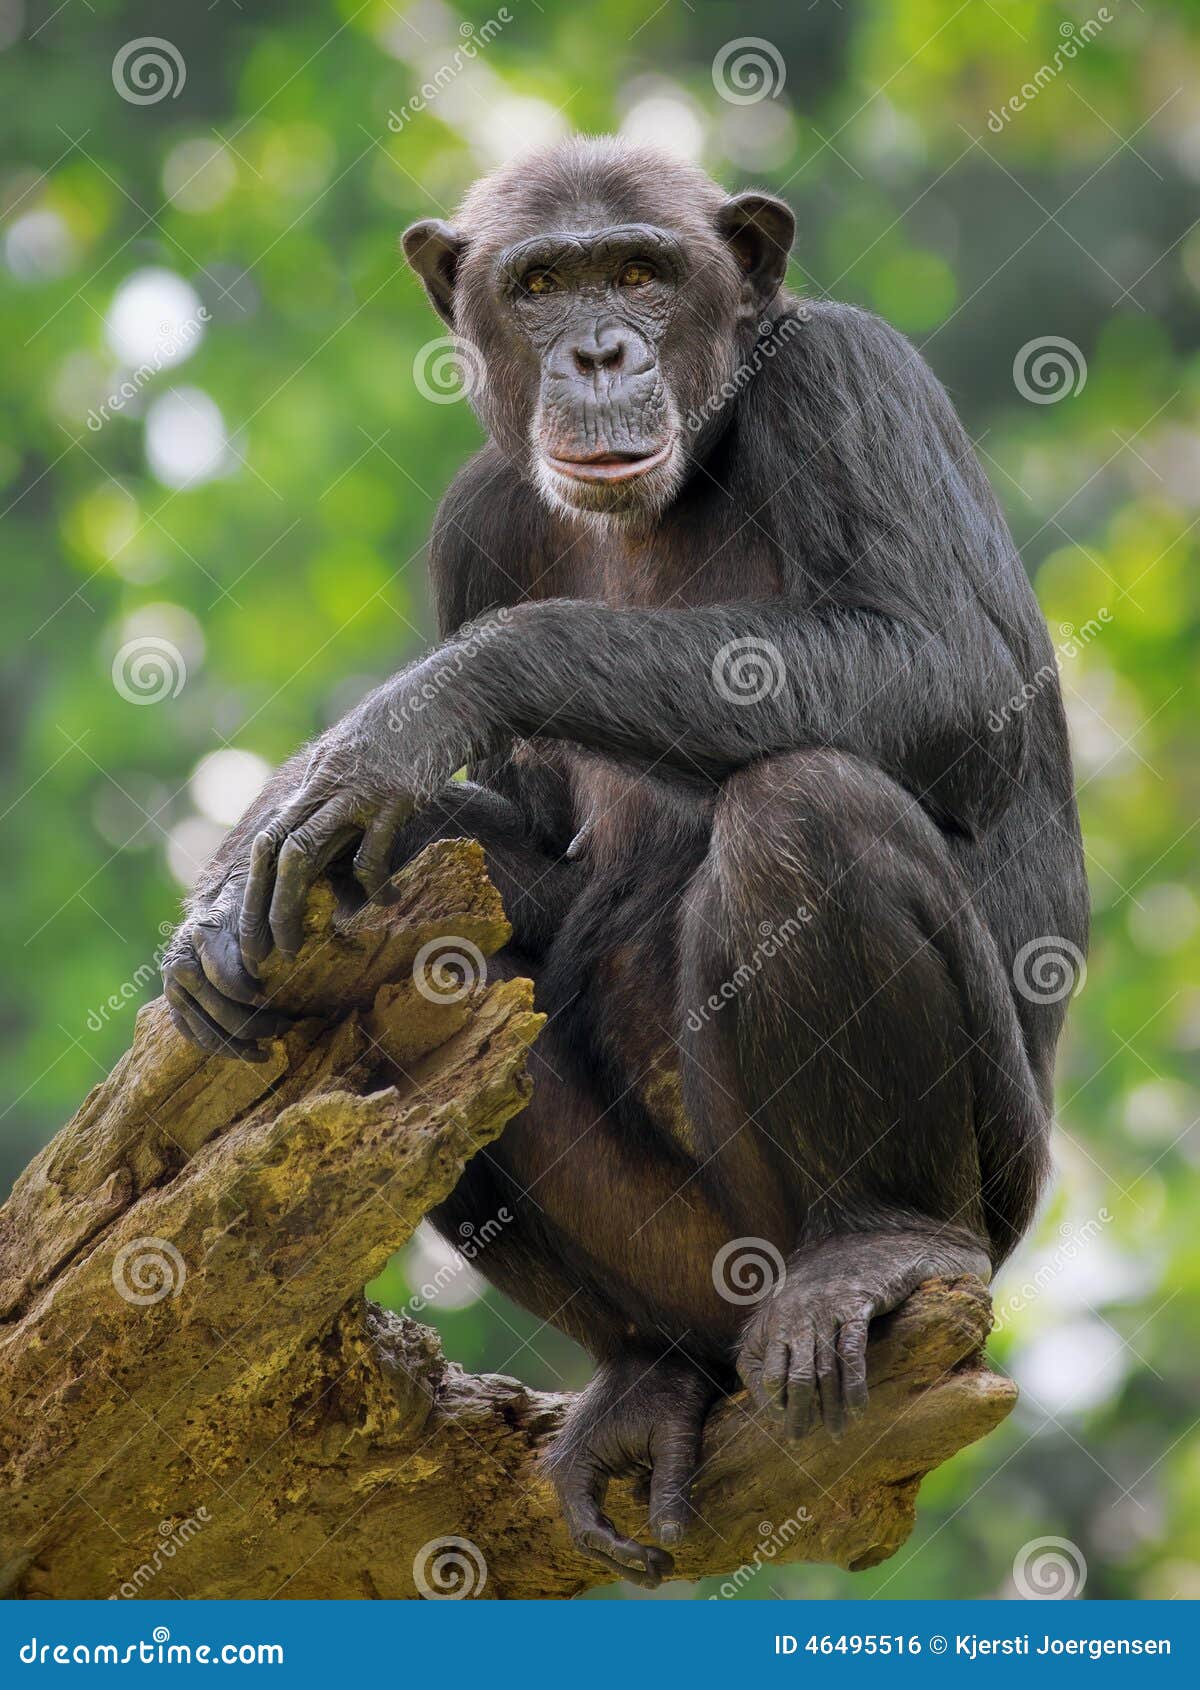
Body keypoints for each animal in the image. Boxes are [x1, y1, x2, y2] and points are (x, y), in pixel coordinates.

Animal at [162, 136, 1088, 1588]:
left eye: (644, 273)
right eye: (544, 285)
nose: (599, 349)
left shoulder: (853, 374)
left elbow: (945, 670)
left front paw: (399, 724)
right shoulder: (477, 521)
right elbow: (526, 856)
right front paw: (243, 879)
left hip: (986, 1195)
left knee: (808, 803)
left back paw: (877, 1245)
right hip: (686, 1269)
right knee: (435, 985)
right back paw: (645, 1381)